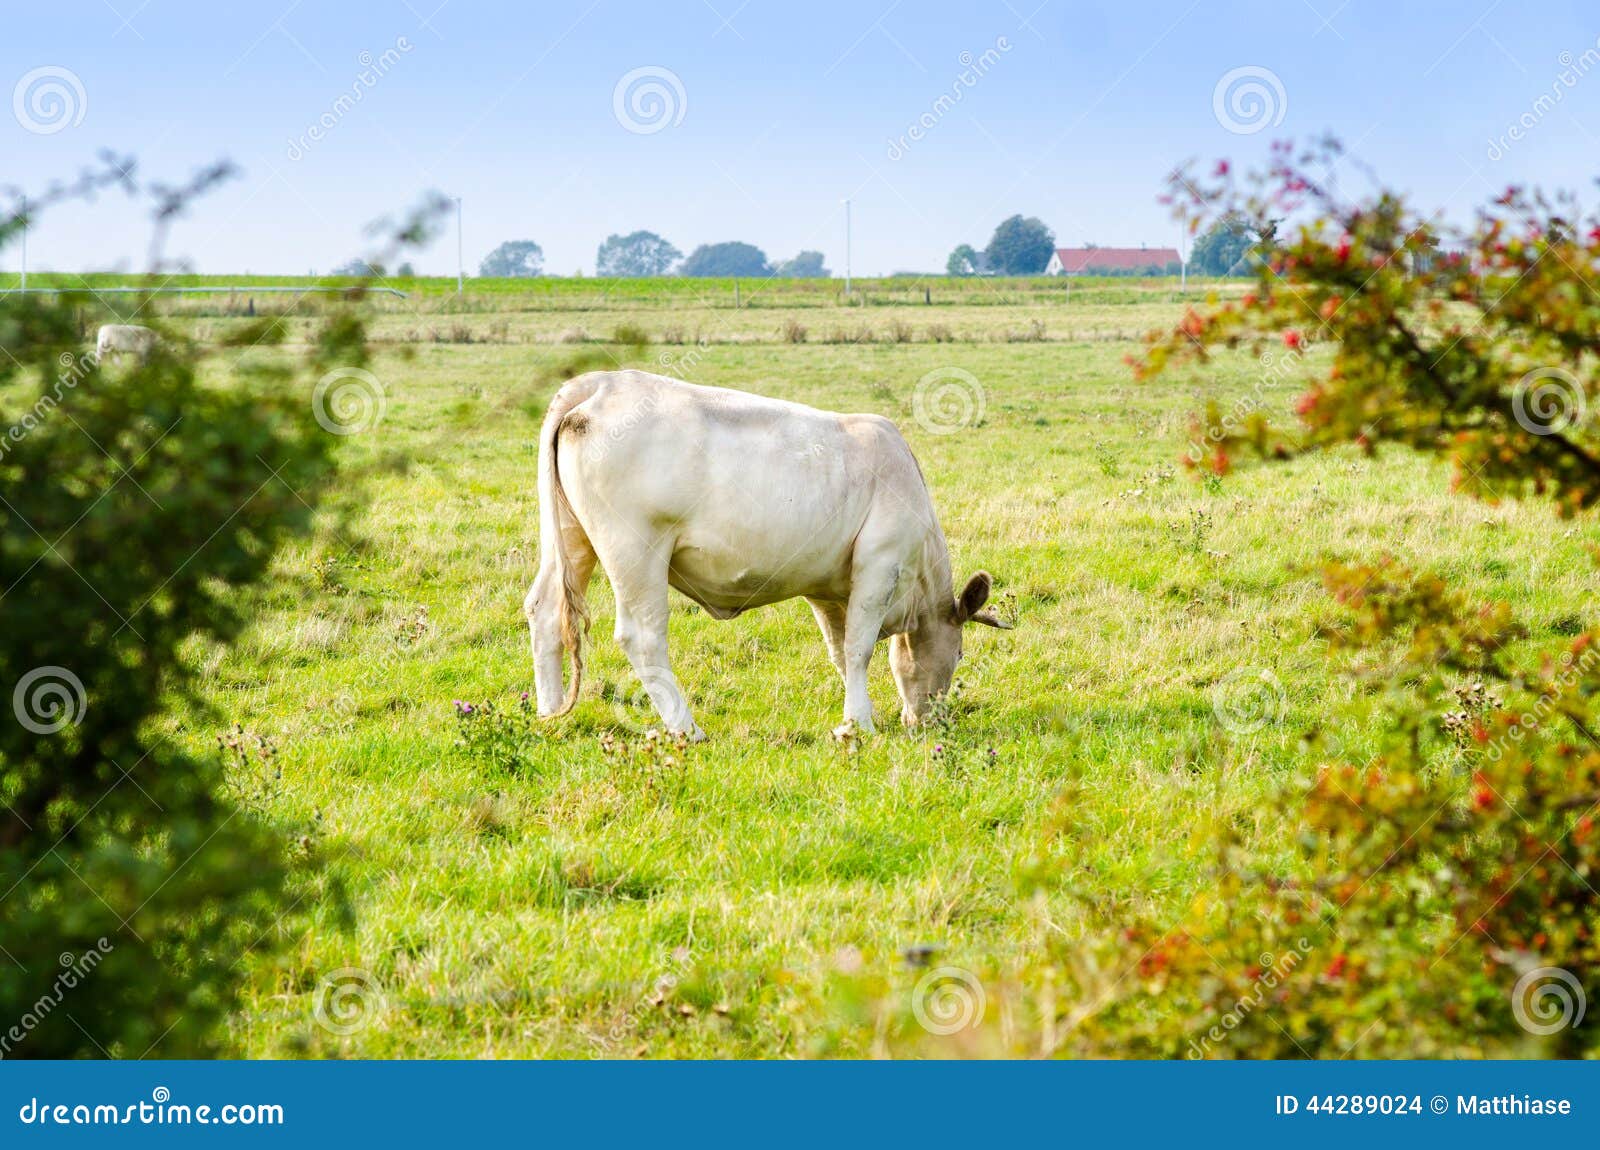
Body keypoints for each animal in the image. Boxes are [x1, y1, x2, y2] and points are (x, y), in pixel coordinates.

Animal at [526, 370, 1009, 740]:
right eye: (960, 654)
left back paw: (549, 714)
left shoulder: (828, 590)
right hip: (636, 552)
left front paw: (854, 712)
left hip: (570, 539)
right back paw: (687, 729)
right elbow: (858, 648)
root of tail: (603, 382)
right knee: (642, 637)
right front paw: (859, 725)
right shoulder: (880, 564)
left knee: (544, 609)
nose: (931, 721)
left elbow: (840, 650)